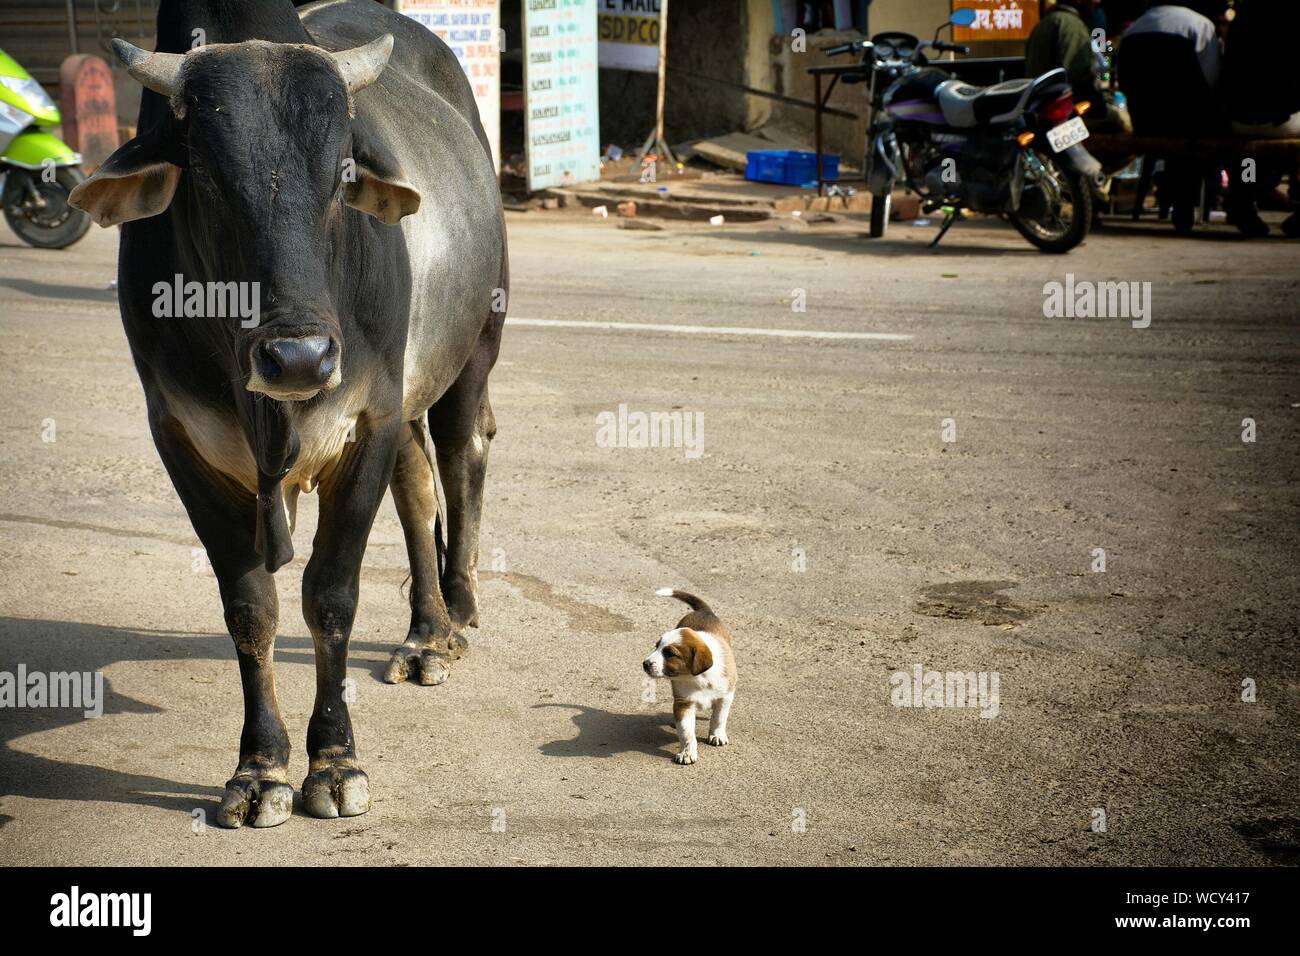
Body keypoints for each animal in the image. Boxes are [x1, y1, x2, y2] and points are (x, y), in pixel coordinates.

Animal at [68, 0, 506, 827]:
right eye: (208, 175)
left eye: (342, 174)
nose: (299, 359)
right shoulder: (182, 439)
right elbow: (252, 607)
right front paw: (260, 770)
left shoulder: (365, 420)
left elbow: (329, 596)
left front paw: (334, 763)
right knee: (417, 488)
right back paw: (425, 629)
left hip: (471, 347)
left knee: (462, 454)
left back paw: (456, 618)